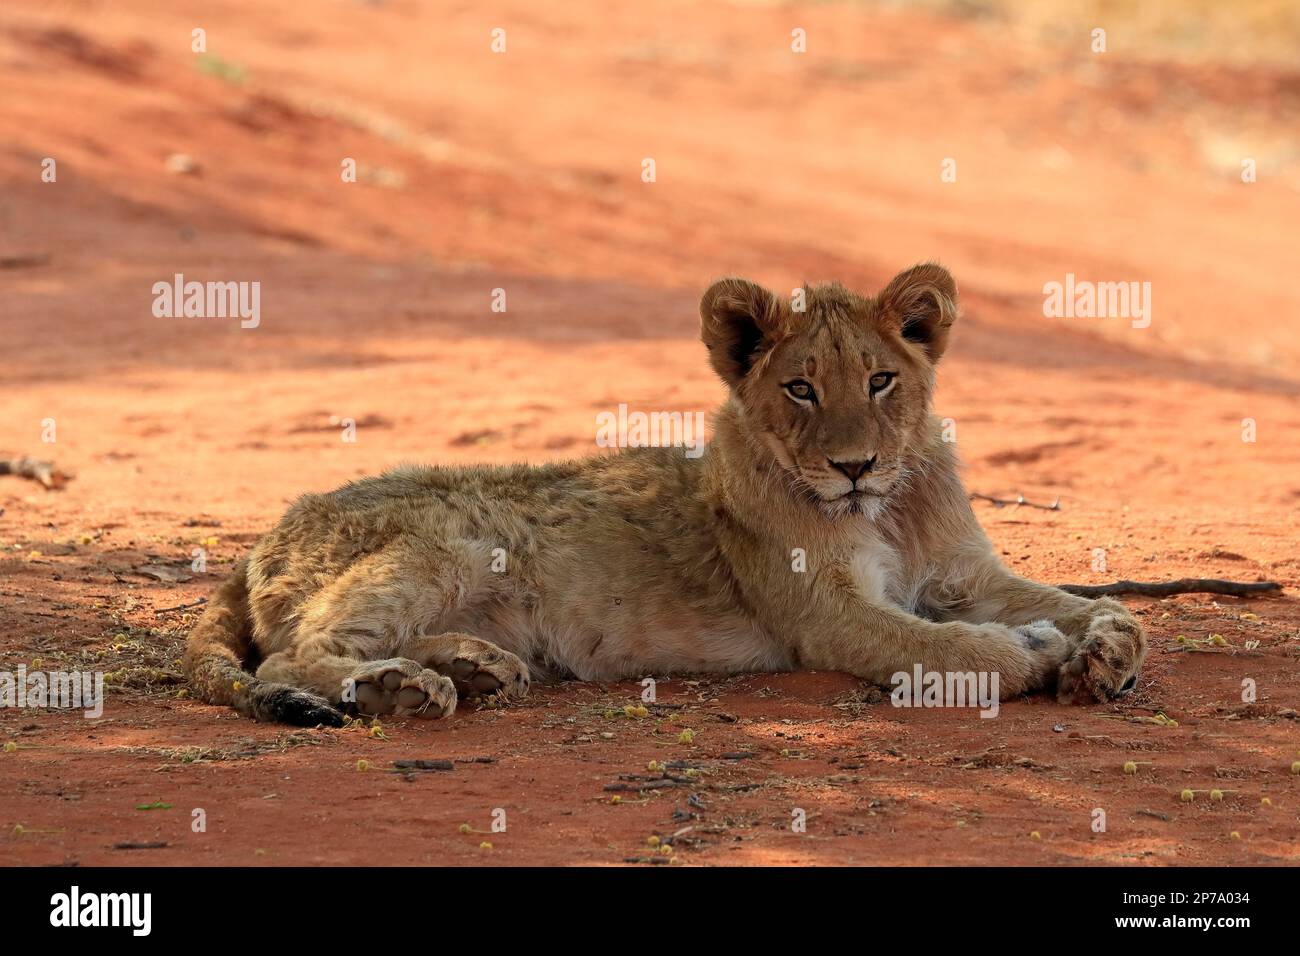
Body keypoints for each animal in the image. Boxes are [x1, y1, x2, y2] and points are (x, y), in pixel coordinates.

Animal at [183, 263, 1145, 726]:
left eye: (880, 379)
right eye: (801, 389)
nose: (855, 466)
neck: (893, 508)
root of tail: (260, 539)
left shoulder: (965, 574)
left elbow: (1088, 602)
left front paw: (1106, 646)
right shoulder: (829, 616)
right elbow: (954, 648)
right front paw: (1035, 653)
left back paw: (472, 667)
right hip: (451, 533)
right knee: (289, 656)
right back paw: (402, 689)